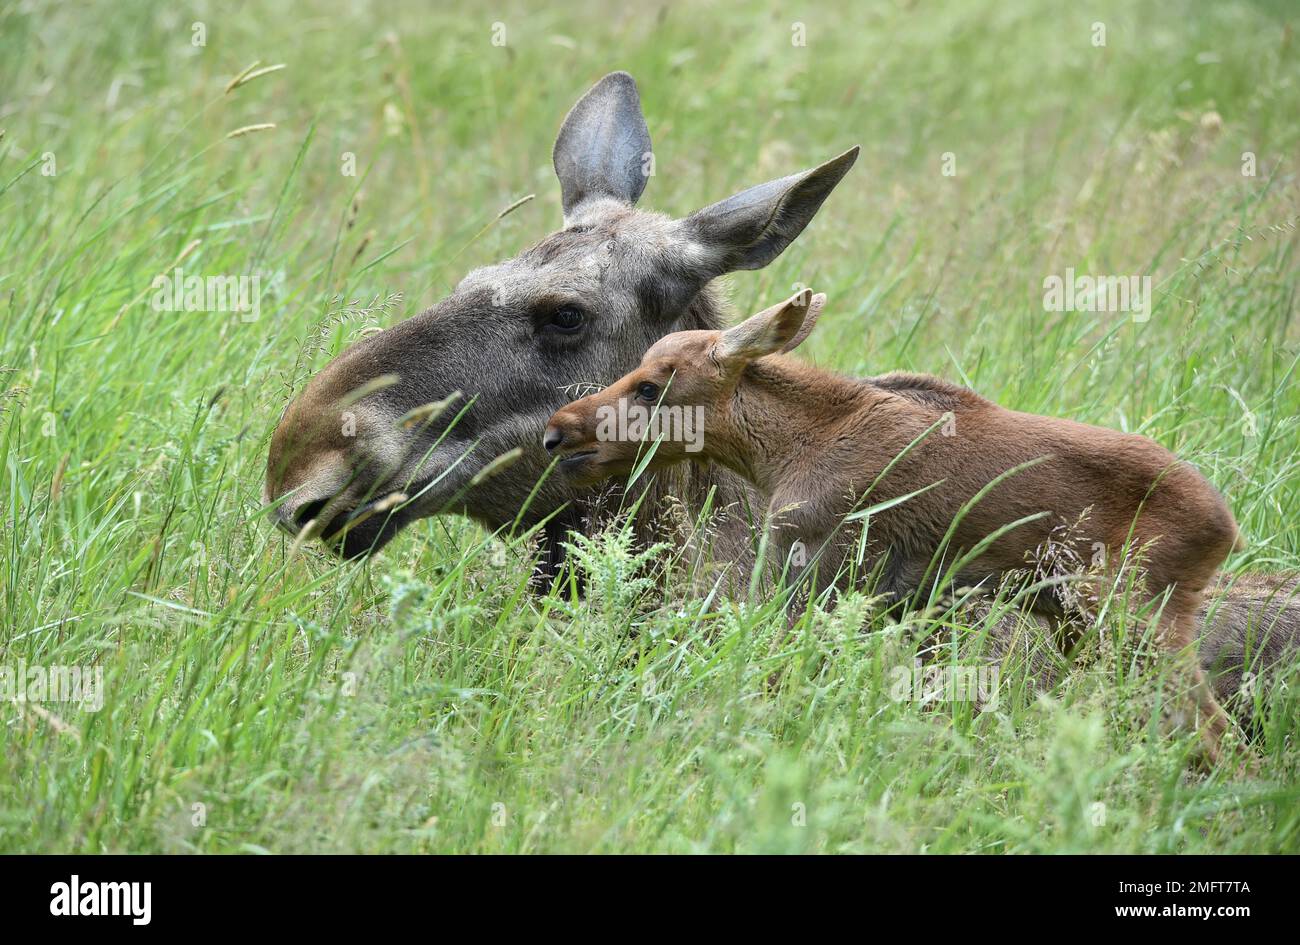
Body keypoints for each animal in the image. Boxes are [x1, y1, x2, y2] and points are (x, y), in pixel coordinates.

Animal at [543, 289, 1250, 765]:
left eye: (651, 386)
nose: (558, 432)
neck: (784, 450)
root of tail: (1228, 529)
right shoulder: (908, 602)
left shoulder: (815, 573)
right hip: (1089, 625)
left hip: (1133, 617)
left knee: (1219, 735)